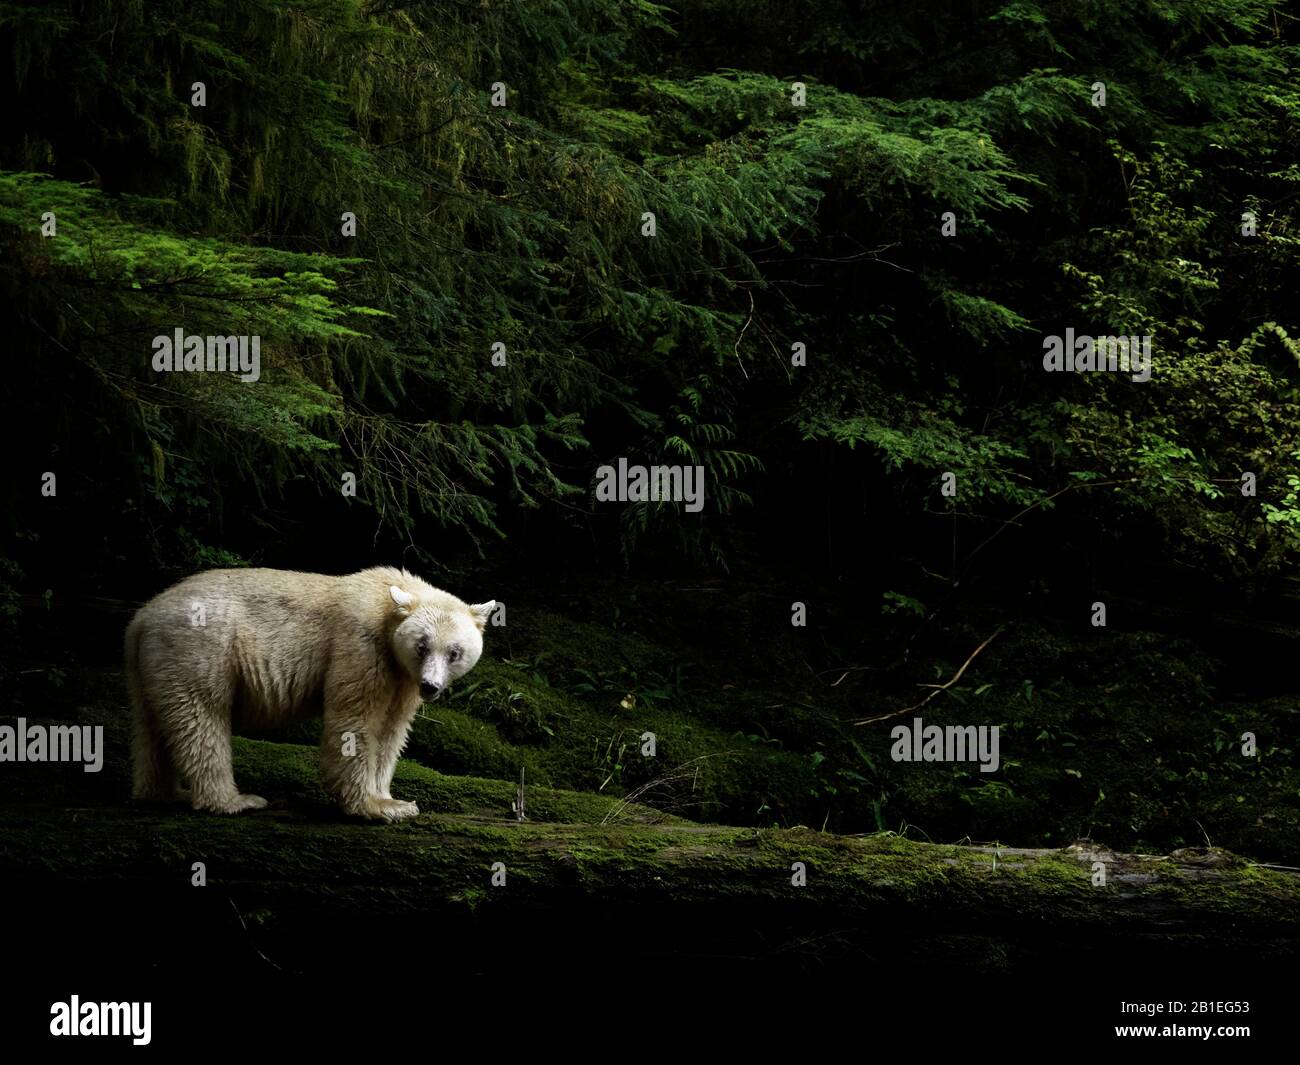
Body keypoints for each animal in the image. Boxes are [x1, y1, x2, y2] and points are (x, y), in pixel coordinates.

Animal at [125, 566, 495, 821]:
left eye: (454, 652)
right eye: (422, 646)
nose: (431, 686)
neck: (386, 602)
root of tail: (143, 616)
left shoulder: (402, 679)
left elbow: (392, 731)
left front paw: (392, 800)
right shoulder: (361, 645)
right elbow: (355, 721)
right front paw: (372, 806)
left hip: (153, 662)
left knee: (152, 724)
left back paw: (162, 793)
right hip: (201, 646)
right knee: (201, 716)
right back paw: (234, 801)